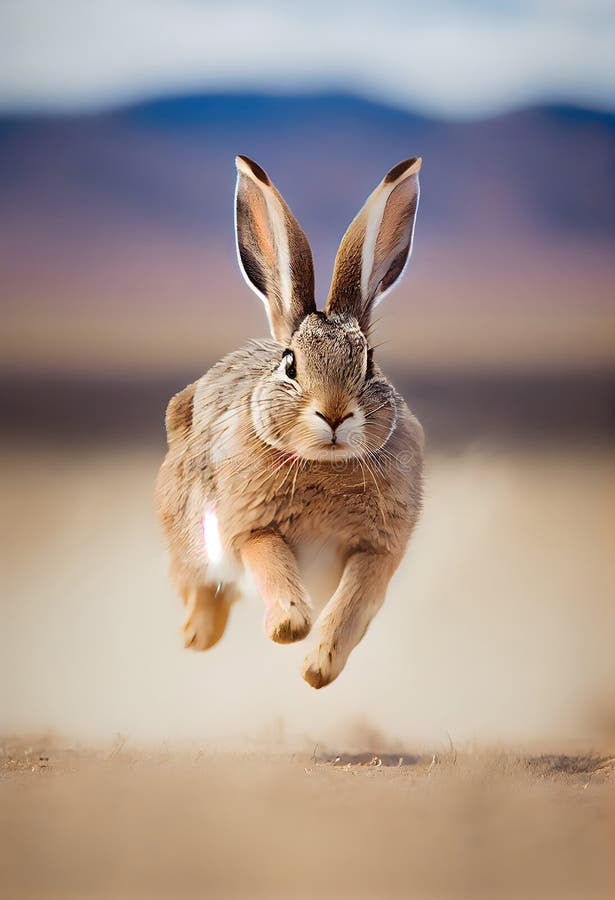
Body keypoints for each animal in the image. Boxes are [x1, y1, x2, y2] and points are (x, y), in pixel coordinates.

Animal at [156, 154, 424, 688]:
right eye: (290, 364)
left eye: (369, 363)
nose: (335, 413)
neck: (326, 463)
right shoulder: (250, 528)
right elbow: (272, 564)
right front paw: (289, 627)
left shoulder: (376, 552)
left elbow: (351, 603)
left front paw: (318, 665)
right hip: (185, 523)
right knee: (199, 583)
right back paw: (199, 637)